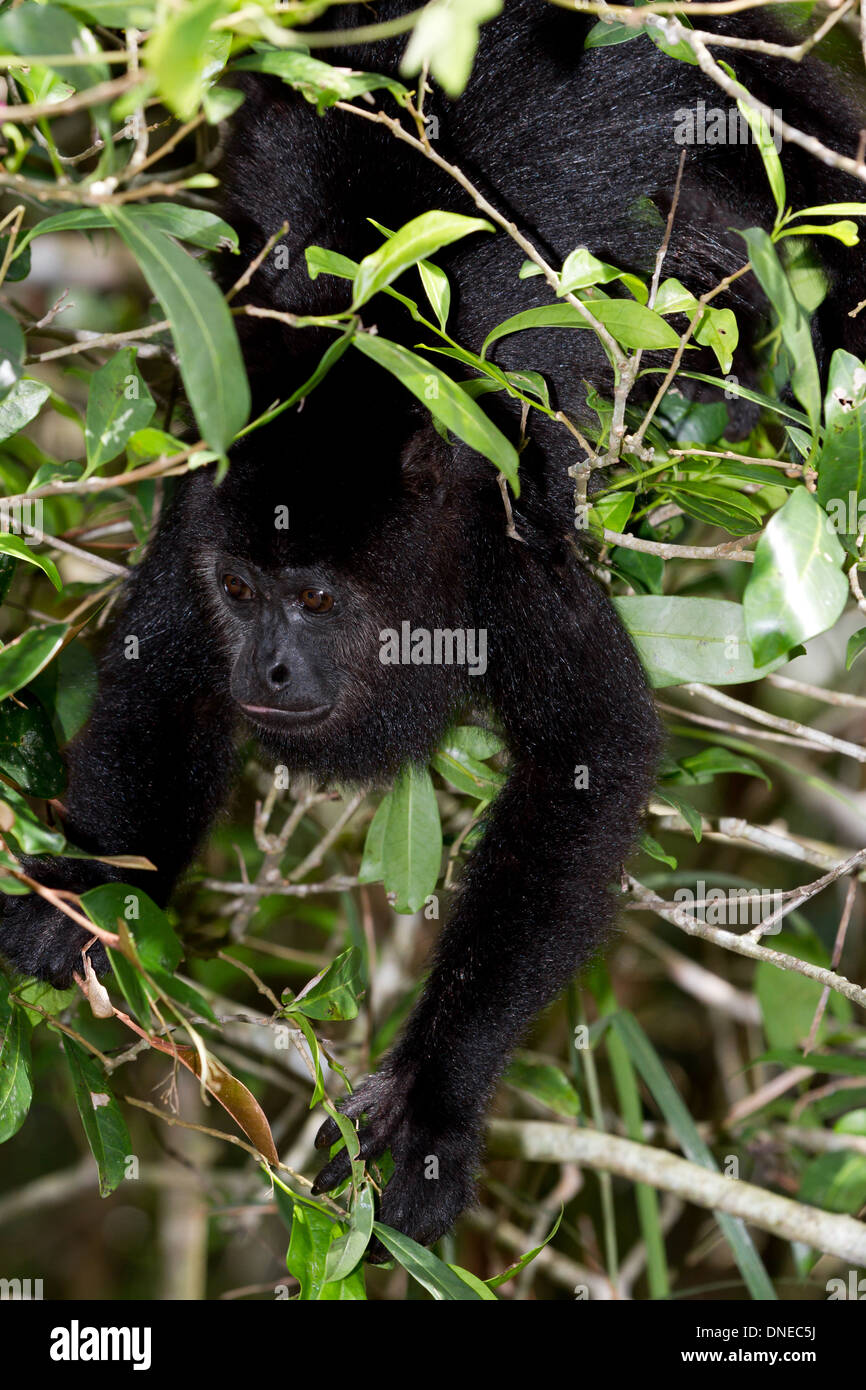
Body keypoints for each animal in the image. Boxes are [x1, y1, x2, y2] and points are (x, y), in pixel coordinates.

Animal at [1, 0, 863, 1249]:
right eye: (243, 589)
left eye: (318, 600)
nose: (268, 668)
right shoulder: (205, 492)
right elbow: (159, 675)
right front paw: (86, 891)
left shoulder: (502, 522)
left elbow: (587, 753)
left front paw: (430, 1103)